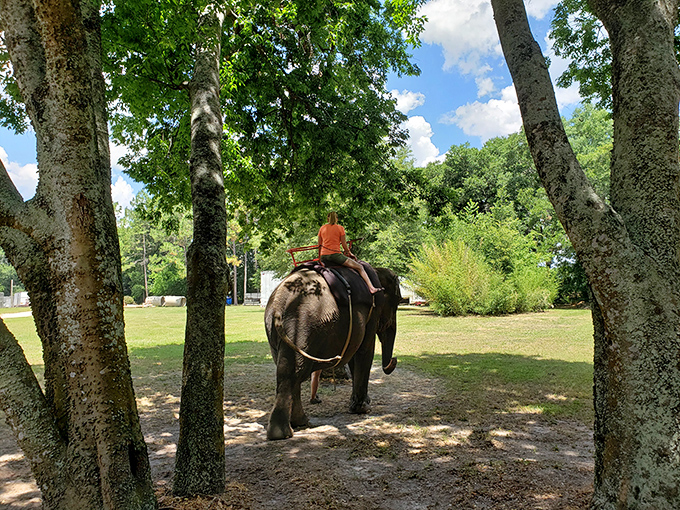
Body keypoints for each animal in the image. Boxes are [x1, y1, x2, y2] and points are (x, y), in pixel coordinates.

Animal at [264, 262, 401, 440]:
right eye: (397, 303)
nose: (394, 360)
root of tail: (279, 302)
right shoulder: (373, 311)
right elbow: (364, 350)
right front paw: (363, 409)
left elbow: (354, 354)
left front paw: (359, 405)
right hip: (303, 325)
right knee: (294, 373)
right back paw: (283, 433)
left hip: (279, 329)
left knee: (288, 370)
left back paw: (299, 423)